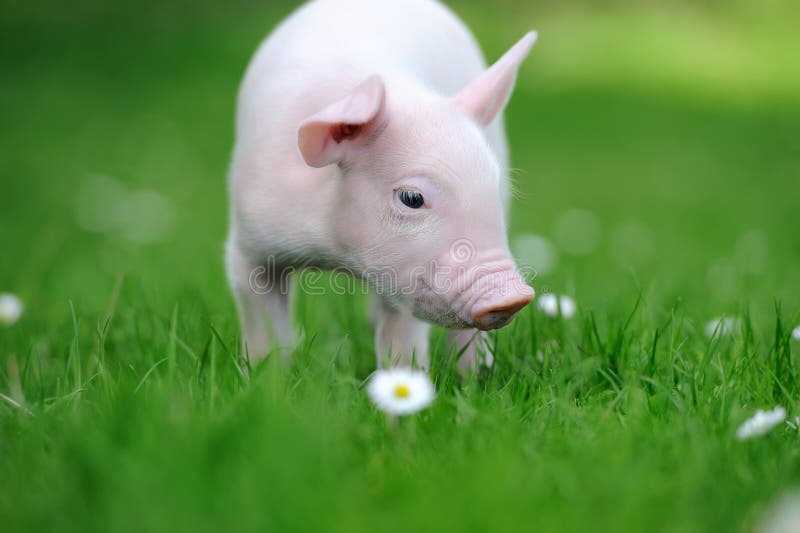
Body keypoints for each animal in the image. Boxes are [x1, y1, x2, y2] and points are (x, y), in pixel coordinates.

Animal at [226, 0, 536, 371]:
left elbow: (401, 337)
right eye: (412, 198)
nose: (514, 296)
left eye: (492, 188)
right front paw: (265, 378)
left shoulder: (408, 277)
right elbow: (264, 328)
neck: (335, 253)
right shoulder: (248, 244)